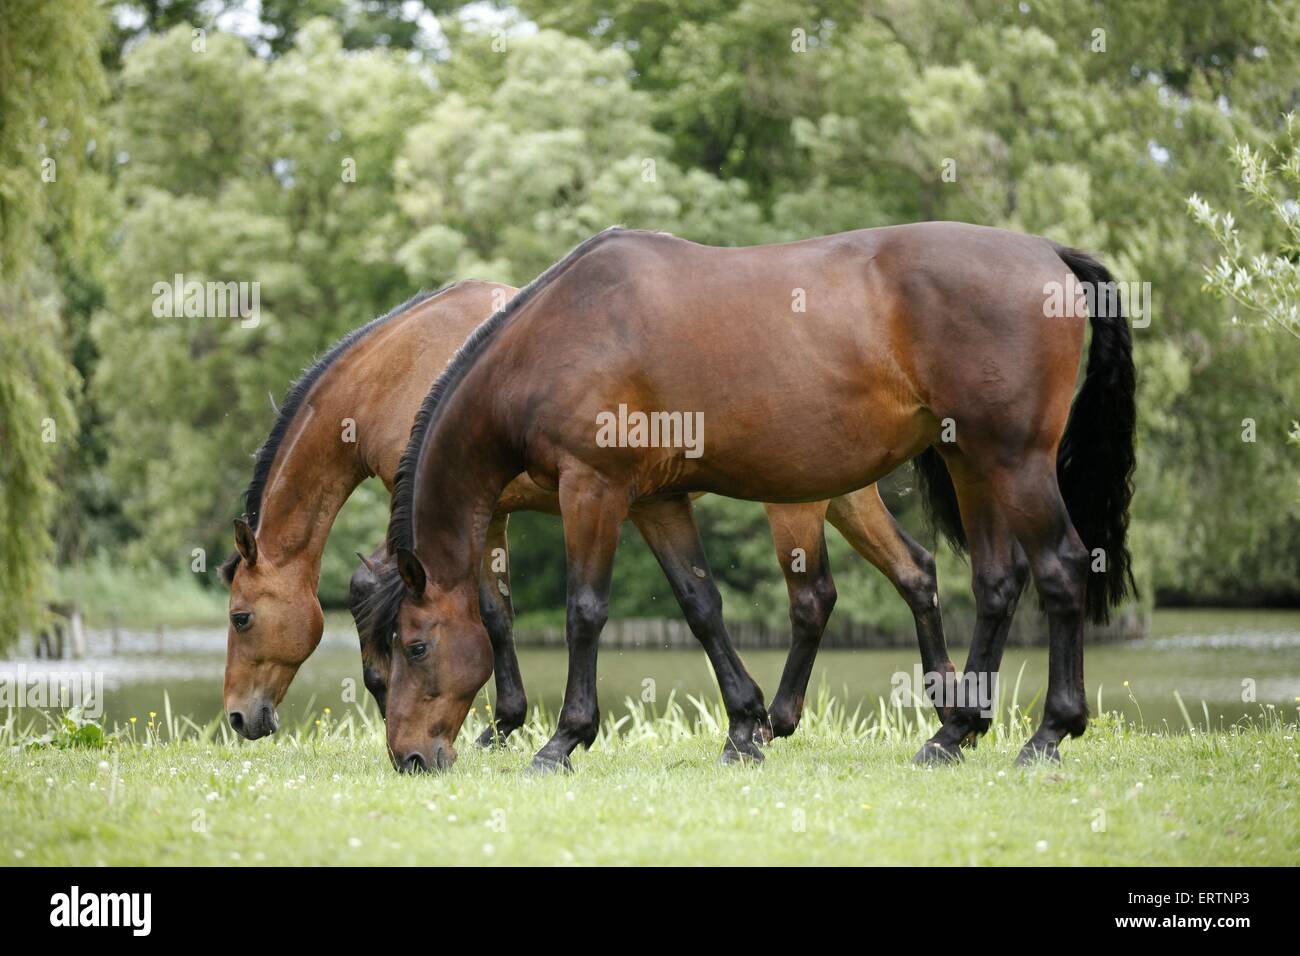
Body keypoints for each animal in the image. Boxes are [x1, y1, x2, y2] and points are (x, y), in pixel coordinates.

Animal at [220, 282, 952, 747]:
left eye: (241, 617)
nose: (238, 719)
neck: (403, 369)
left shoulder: (465, 517)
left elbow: (435, 601)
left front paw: (499, 724)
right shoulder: (479, 517)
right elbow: (463, 606)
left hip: (794, 505)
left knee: (811, 600)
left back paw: (779, 717)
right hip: (846, 496)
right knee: (914, 572)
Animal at [365, 221, 1135, 773]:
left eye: (415, 646)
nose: (409, 757)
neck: (562, 332)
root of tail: (1049, 255)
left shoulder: (594, 489)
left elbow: (585, 611)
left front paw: (564, 741)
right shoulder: (654, 502)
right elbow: (701, 605)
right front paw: (745, 727)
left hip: (1014, 463)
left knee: (1061, 567)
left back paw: (1049, 732)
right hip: (971, 462)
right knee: (997, 582)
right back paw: (954, 731)